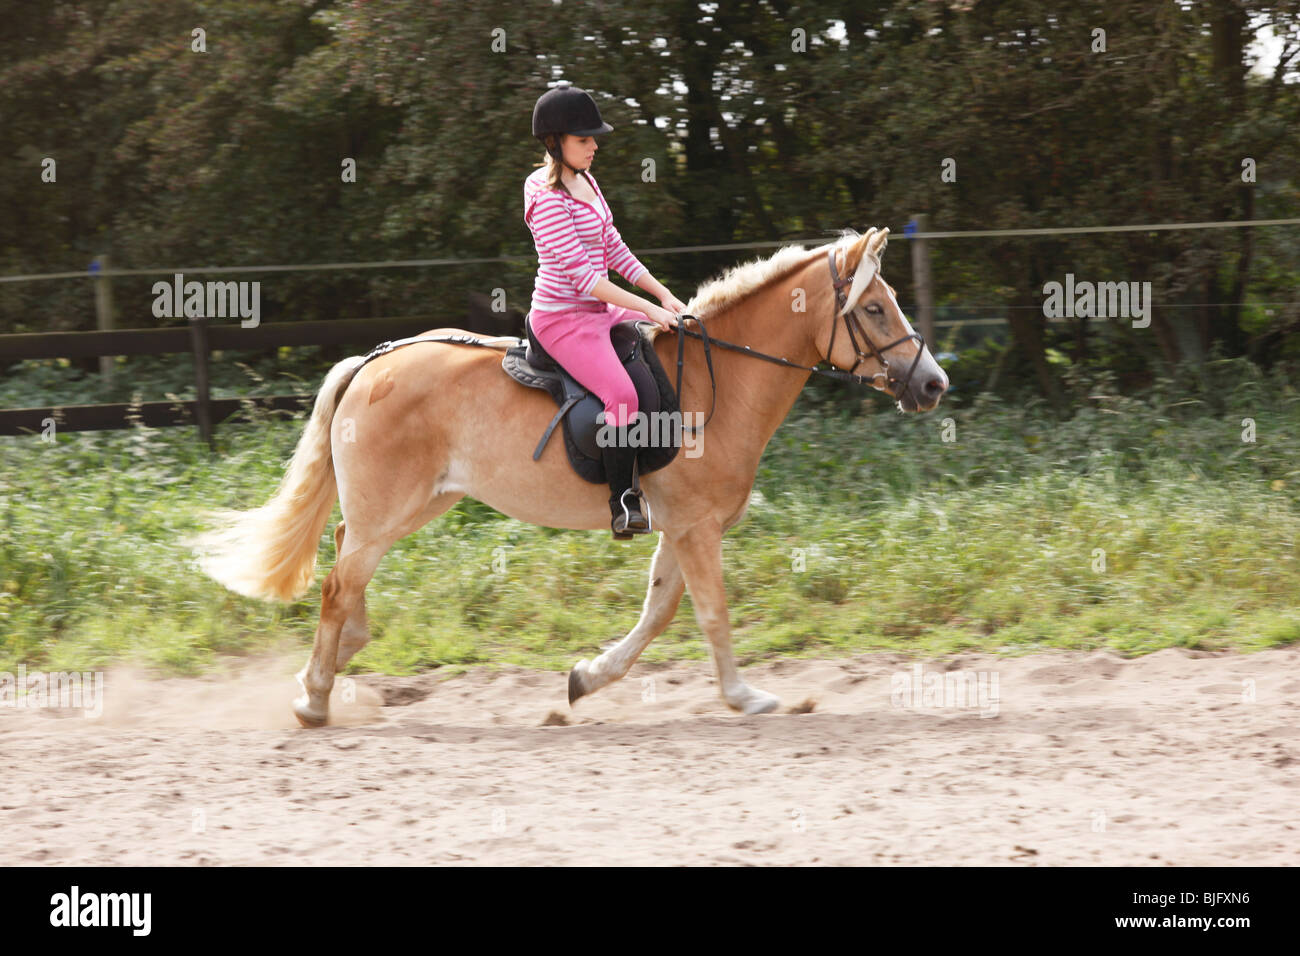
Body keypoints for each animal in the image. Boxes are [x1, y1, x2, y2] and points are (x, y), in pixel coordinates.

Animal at [187, 226, 948, 726]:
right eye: (874, 308)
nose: (933, 384)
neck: (720, 381)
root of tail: (373, 361)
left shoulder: (679, 527)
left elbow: (658, 611)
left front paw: (586, 679)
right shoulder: (697, 528)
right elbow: (712, 614)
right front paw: (746, 697)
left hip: (415, 504)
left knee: (347, 561)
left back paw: (340, 657)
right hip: (392, 507)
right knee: (340, 581)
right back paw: (315, 699)